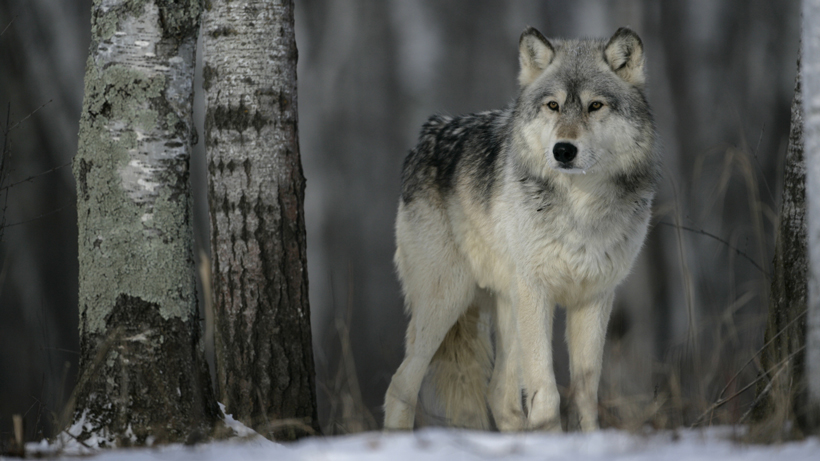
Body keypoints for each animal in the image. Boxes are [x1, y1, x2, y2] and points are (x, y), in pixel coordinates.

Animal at [383, 27, 658, 432]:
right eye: (553, 106)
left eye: (595, 106)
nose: (563, 150)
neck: (580, 206)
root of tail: (427, 133)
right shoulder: (537, 290)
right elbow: (547, 392)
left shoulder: (594, 297)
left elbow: (585, 393)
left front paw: (588, 438)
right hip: (447, 300)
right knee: (401, 385)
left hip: (507, 305)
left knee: (499, 394)